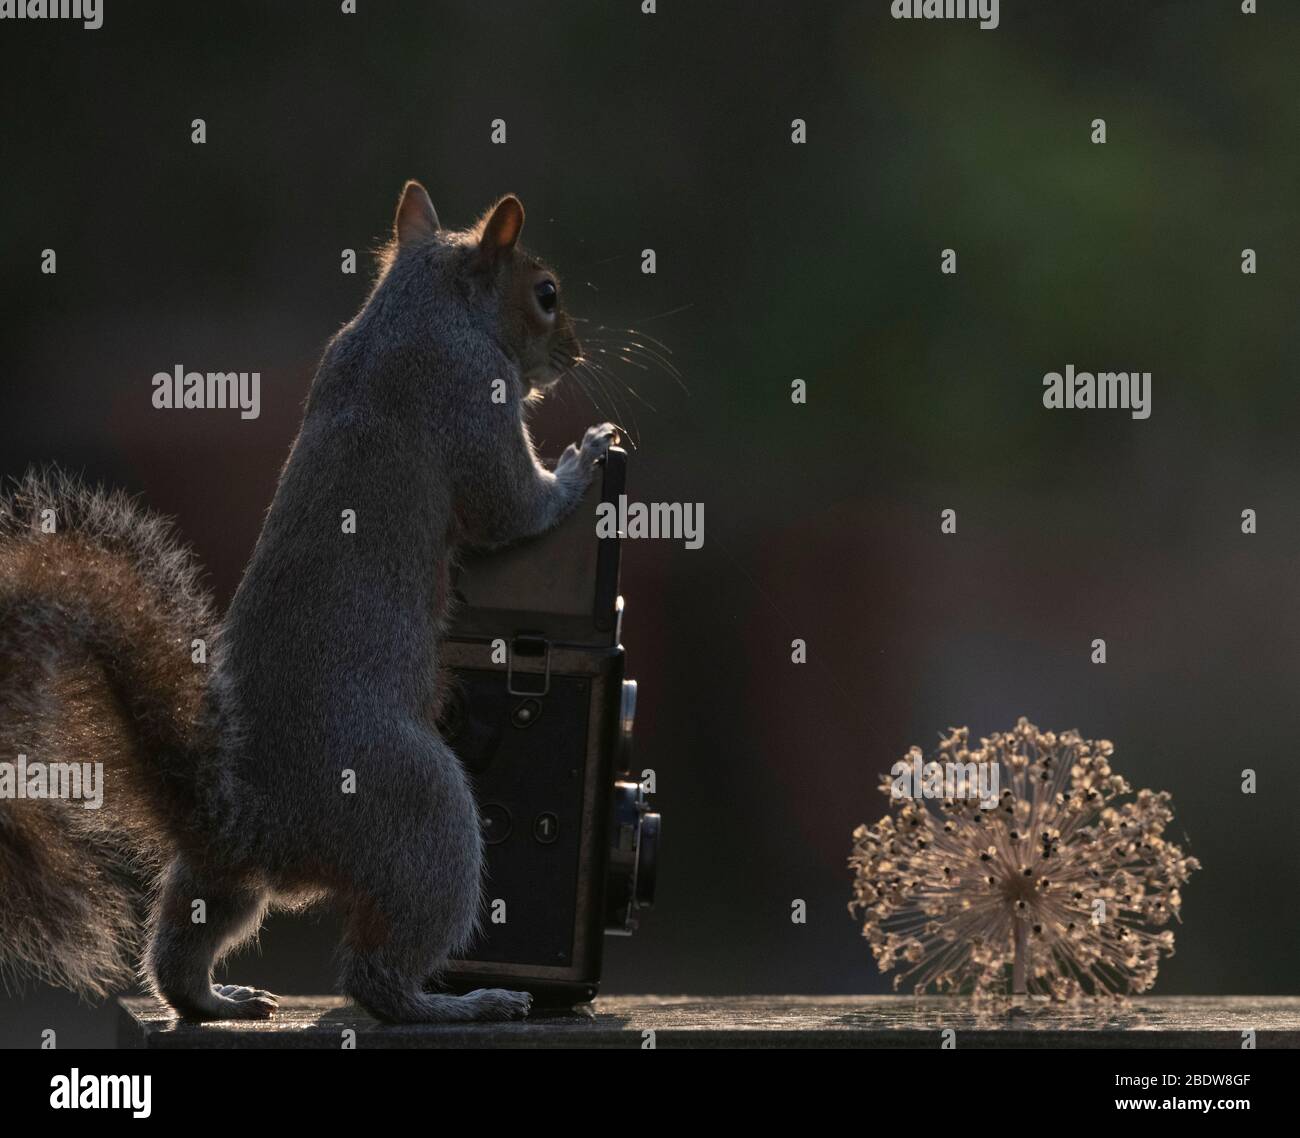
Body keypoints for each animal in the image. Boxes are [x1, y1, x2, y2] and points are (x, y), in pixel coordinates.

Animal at [0, 182, 617, 1023]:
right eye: (546, 293)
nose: (576, 356)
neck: (415, 308)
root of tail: (259, 822)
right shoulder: (472, 397)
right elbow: (515, 507)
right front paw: (586, 457)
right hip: (422, 811)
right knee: (376, 973)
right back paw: (457, 1003)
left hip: (221, 874)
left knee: (185, 943)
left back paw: (218, 998)